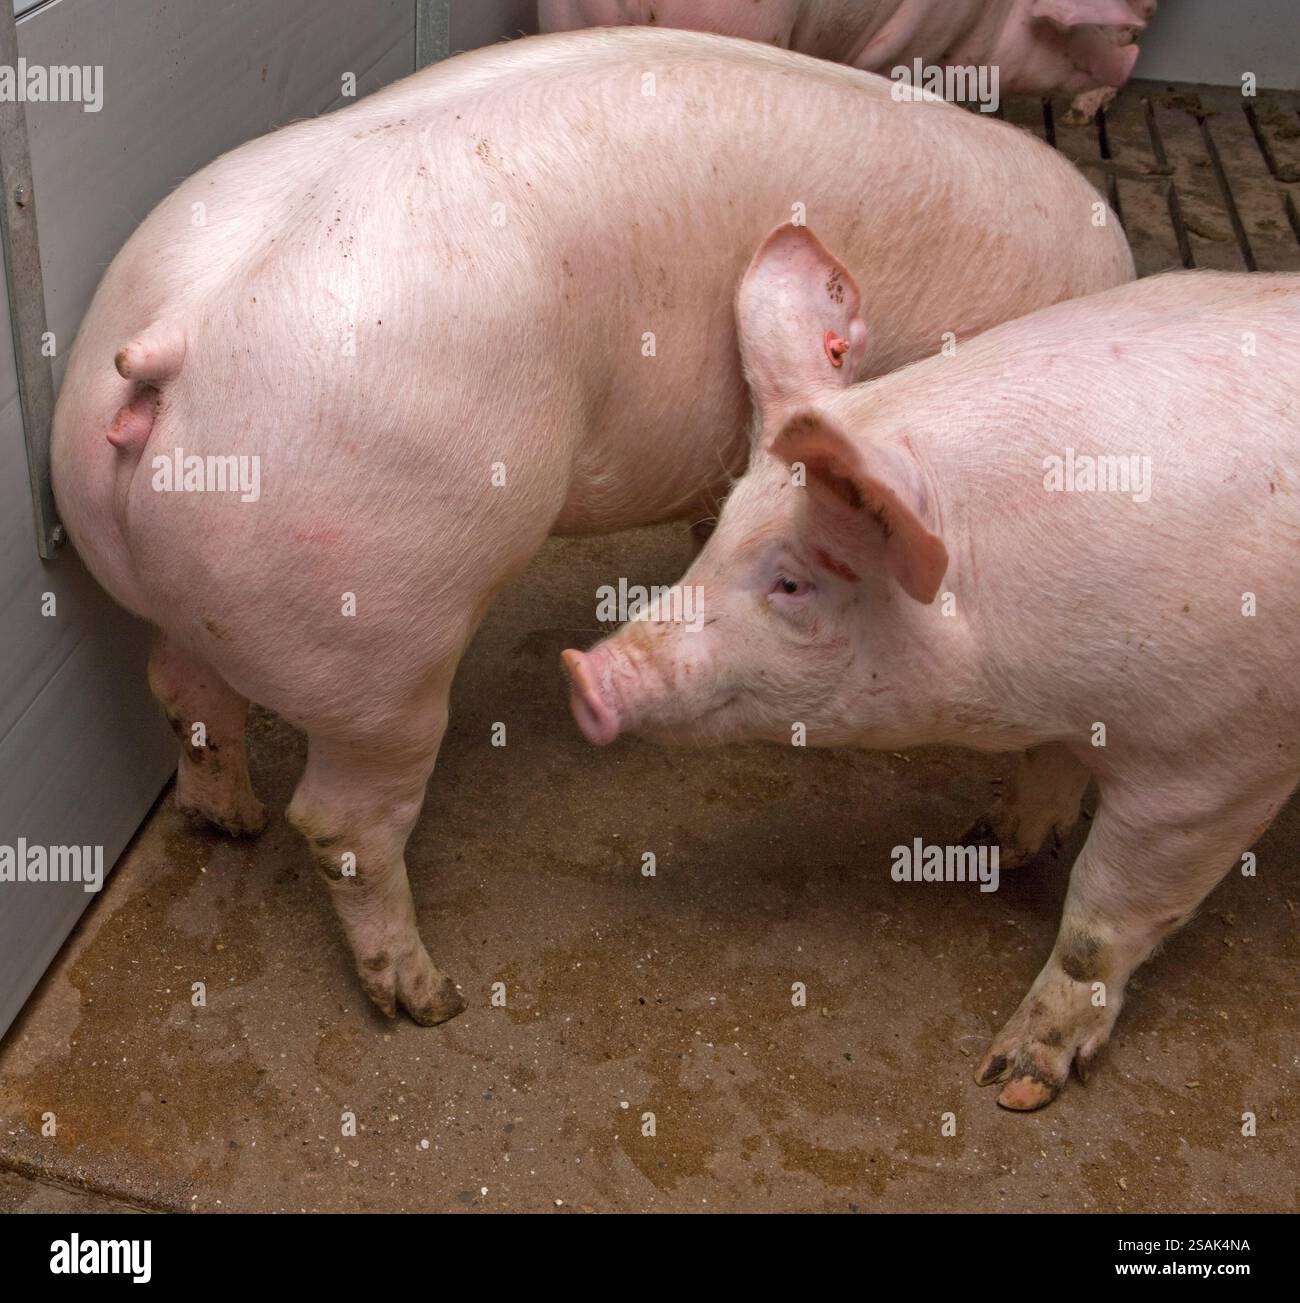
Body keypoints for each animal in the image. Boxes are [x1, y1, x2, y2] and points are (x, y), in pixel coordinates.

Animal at [52, 27, 1133, 1026]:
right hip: (381, 640)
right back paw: (429, 999)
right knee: (339, 824)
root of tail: (172, 341)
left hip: (190, 584)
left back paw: (227, 819)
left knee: (183, 690)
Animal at [564, 226, 1300, 1109]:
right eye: (723, 525)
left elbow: (1100, 915)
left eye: (792, 582)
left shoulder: (1215, 766)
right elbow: (1047, 766)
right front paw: (988, 846)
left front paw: (1013, 1084)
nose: (582, 674)